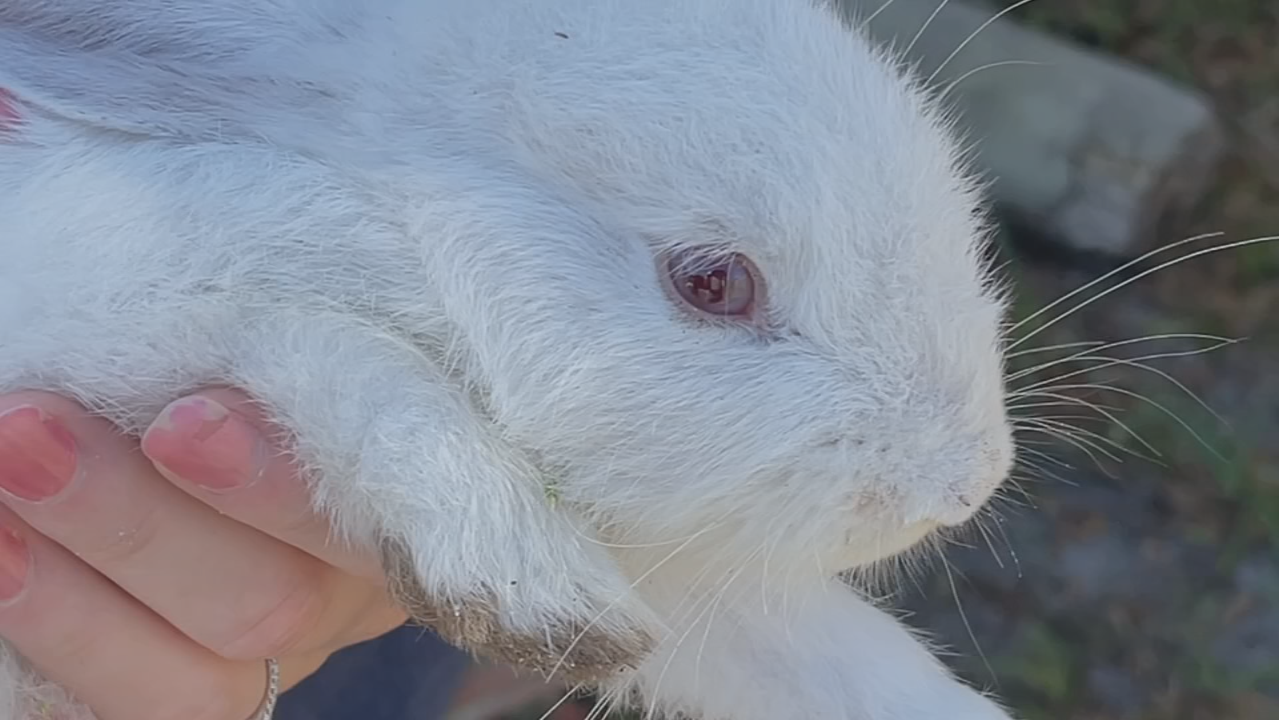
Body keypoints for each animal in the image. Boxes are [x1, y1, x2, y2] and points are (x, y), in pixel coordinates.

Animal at [0, 0, 1019, 718]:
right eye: (712, 282)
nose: (961, 484)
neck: (392, 237)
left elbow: (811, 653)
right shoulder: (96, 305)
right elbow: (328, 346)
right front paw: (528, 585)